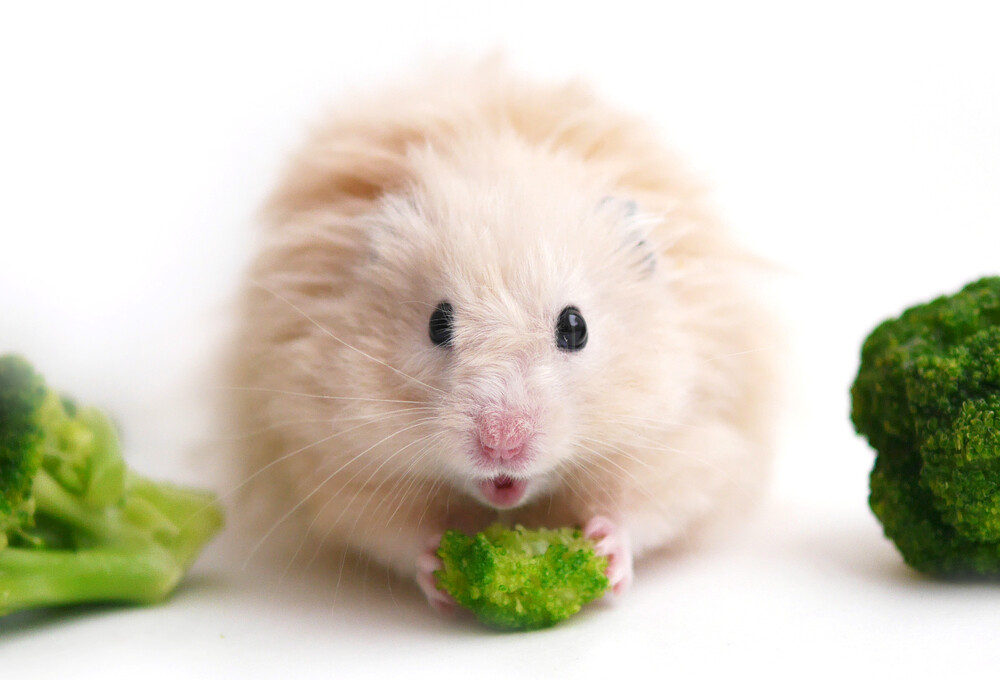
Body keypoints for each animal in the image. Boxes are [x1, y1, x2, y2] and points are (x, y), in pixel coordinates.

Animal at [230, 64, 778, 612]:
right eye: (437, 323)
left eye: (574, 327)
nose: (501, 445)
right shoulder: (333, 463)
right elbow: (391, 531)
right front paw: (437, 569)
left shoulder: (688, 440)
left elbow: (645, 511)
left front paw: (604, 551)